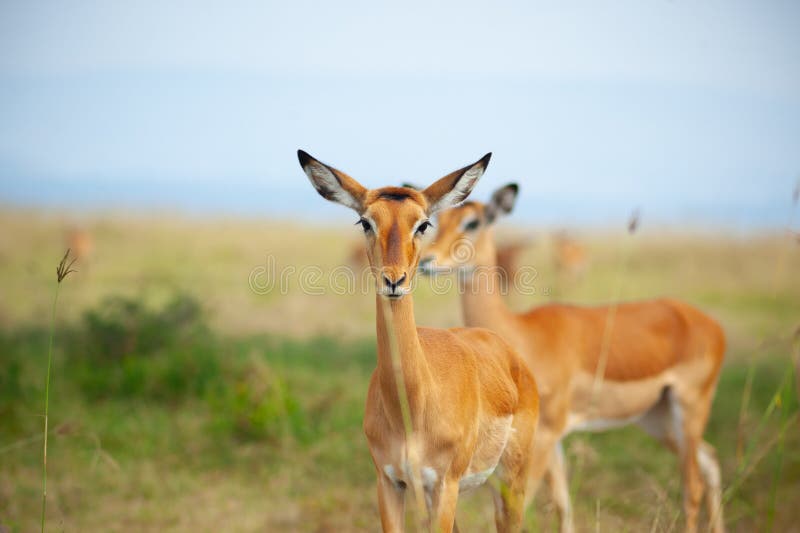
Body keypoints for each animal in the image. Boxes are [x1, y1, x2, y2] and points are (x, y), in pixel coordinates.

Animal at [297, 151, 540, 532]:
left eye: (423, 224)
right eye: (365, 221)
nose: (393, 280)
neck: (412, 406)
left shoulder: (444, 485)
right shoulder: (389, 482)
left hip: (510, 480)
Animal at [419, 183, 726, 533]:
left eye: (473, 222)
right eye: (437, 222)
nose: (428, 261)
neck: (522, 333)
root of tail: (708, 323)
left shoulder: (545, 433)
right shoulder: (550, 437)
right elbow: (562, 501)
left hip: (688, 408)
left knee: (693, 486)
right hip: (657, 418)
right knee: (711, 461)